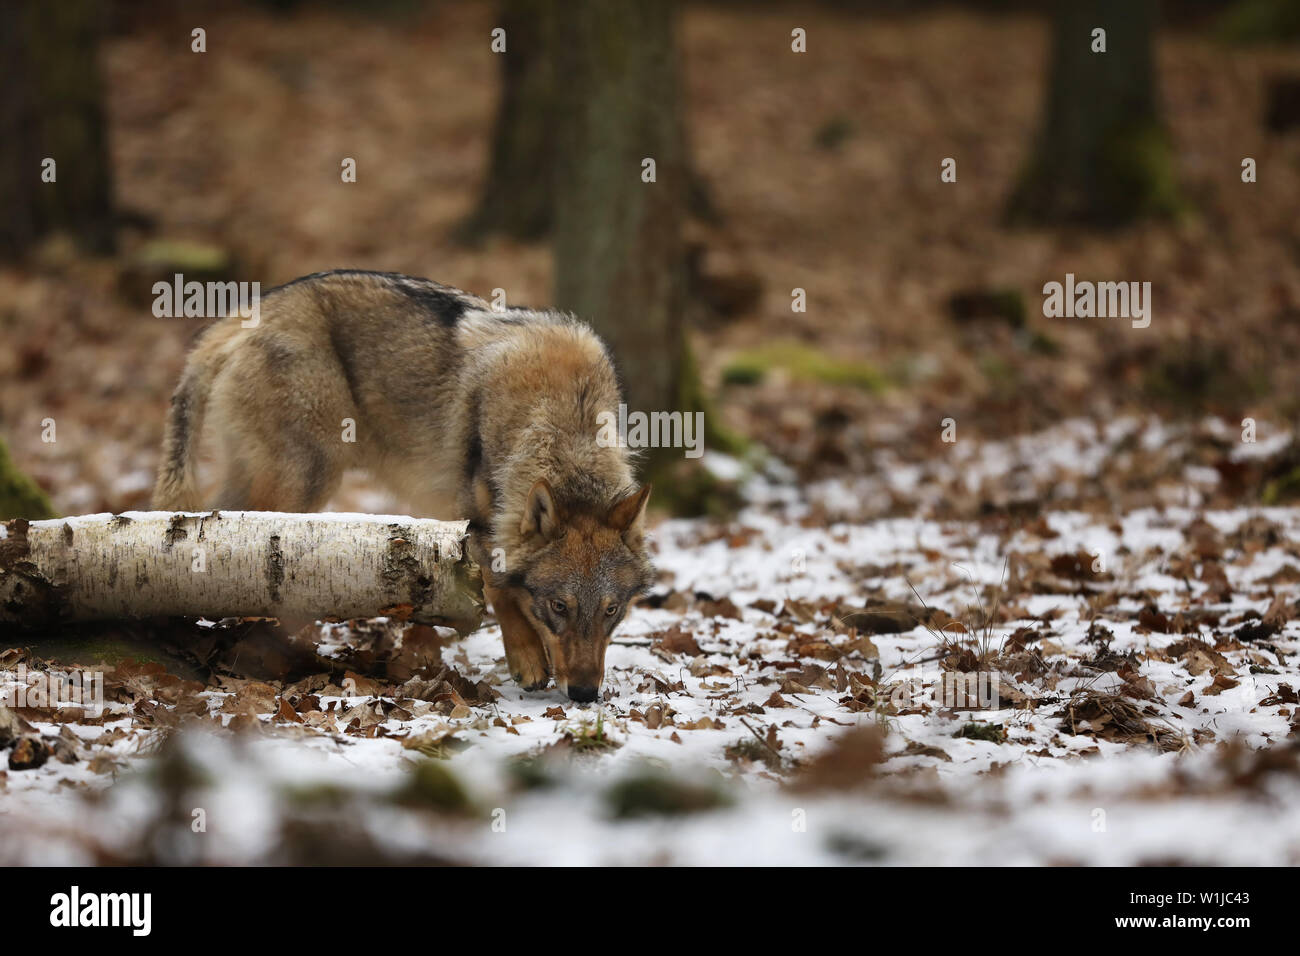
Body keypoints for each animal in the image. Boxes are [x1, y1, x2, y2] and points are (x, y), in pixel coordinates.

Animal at [153, 270, 653, 702]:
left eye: (611, 611)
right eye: (559, 607)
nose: (585, 694)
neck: (561, 418)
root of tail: (242, 314)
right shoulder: (471, 511)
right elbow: (497, 588)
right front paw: (527, 660)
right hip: (303, 482)